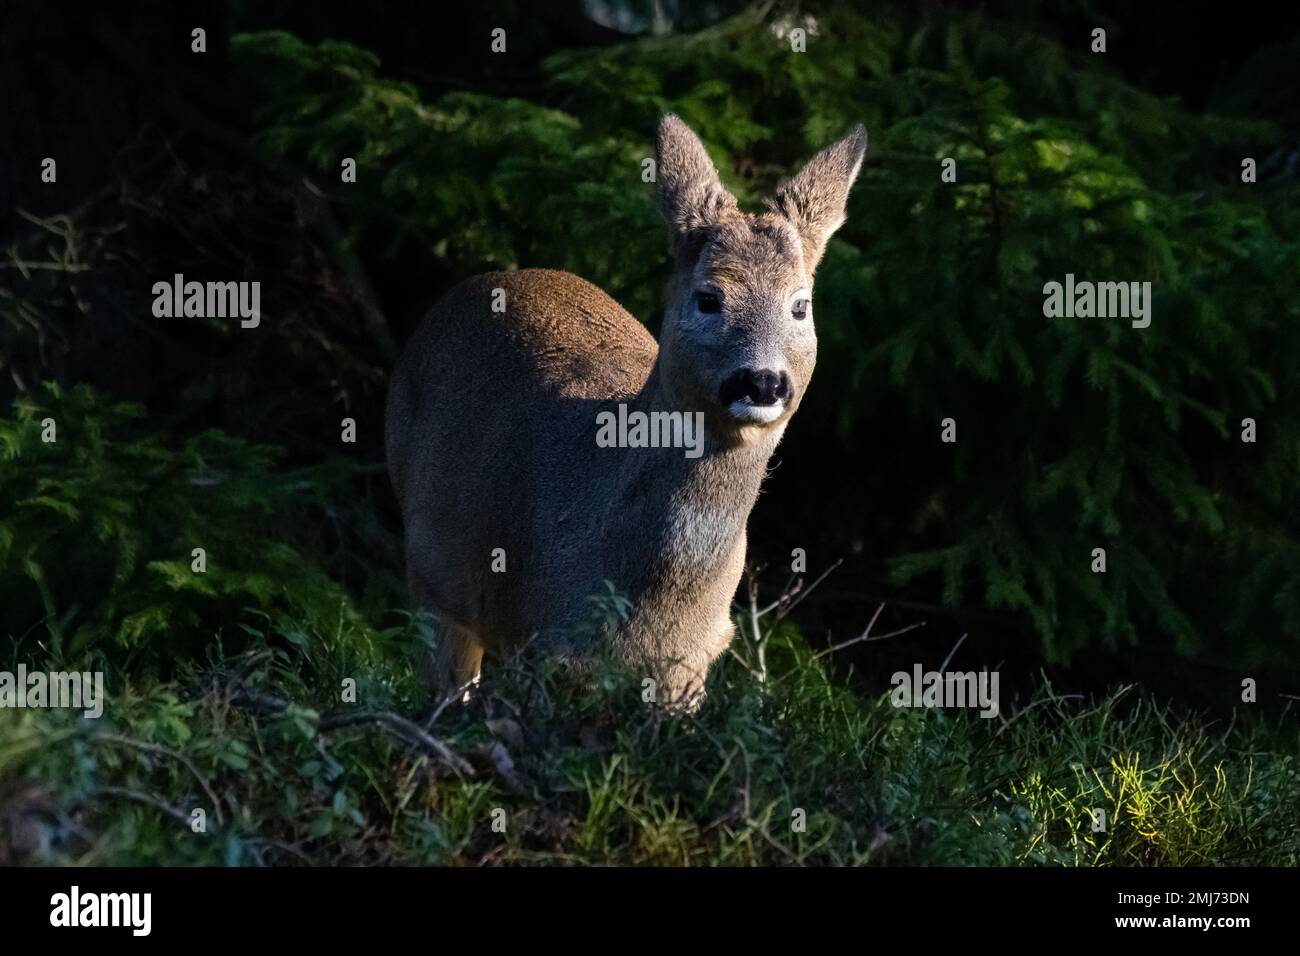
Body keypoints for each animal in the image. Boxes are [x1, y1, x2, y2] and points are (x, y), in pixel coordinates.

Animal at [385, 114, 866, 707]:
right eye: (709, 298)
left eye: (800, 305)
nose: (764, 381)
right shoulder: (536, 638)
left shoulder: (693, 665)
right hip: (429, 573)